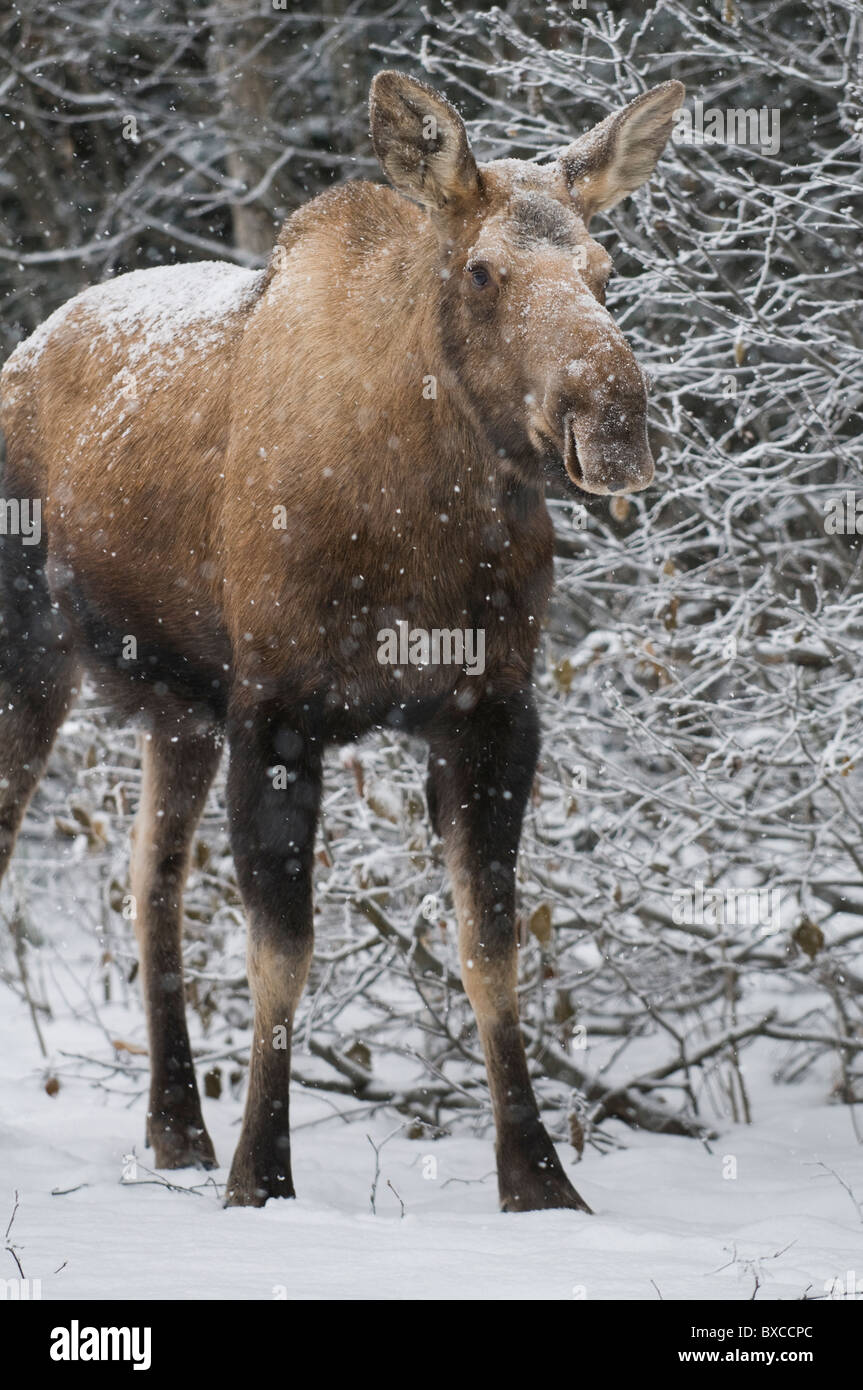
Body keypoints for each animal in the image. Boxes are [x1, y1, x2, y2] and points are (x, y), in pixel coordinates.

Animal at [0, 70, 683, 1212]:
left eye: (602, 266)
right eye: (483, 270)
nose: (615, 416)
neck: (419, 527)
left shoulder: (491, 712)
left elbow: (489, 944)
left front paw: (538, 1181)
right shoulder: (277, 713)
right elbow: (284, 951)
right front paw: (260, 1174)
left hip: (177, 709)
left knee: (153, 880)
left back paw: (175, 1129)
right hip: (31, 655)